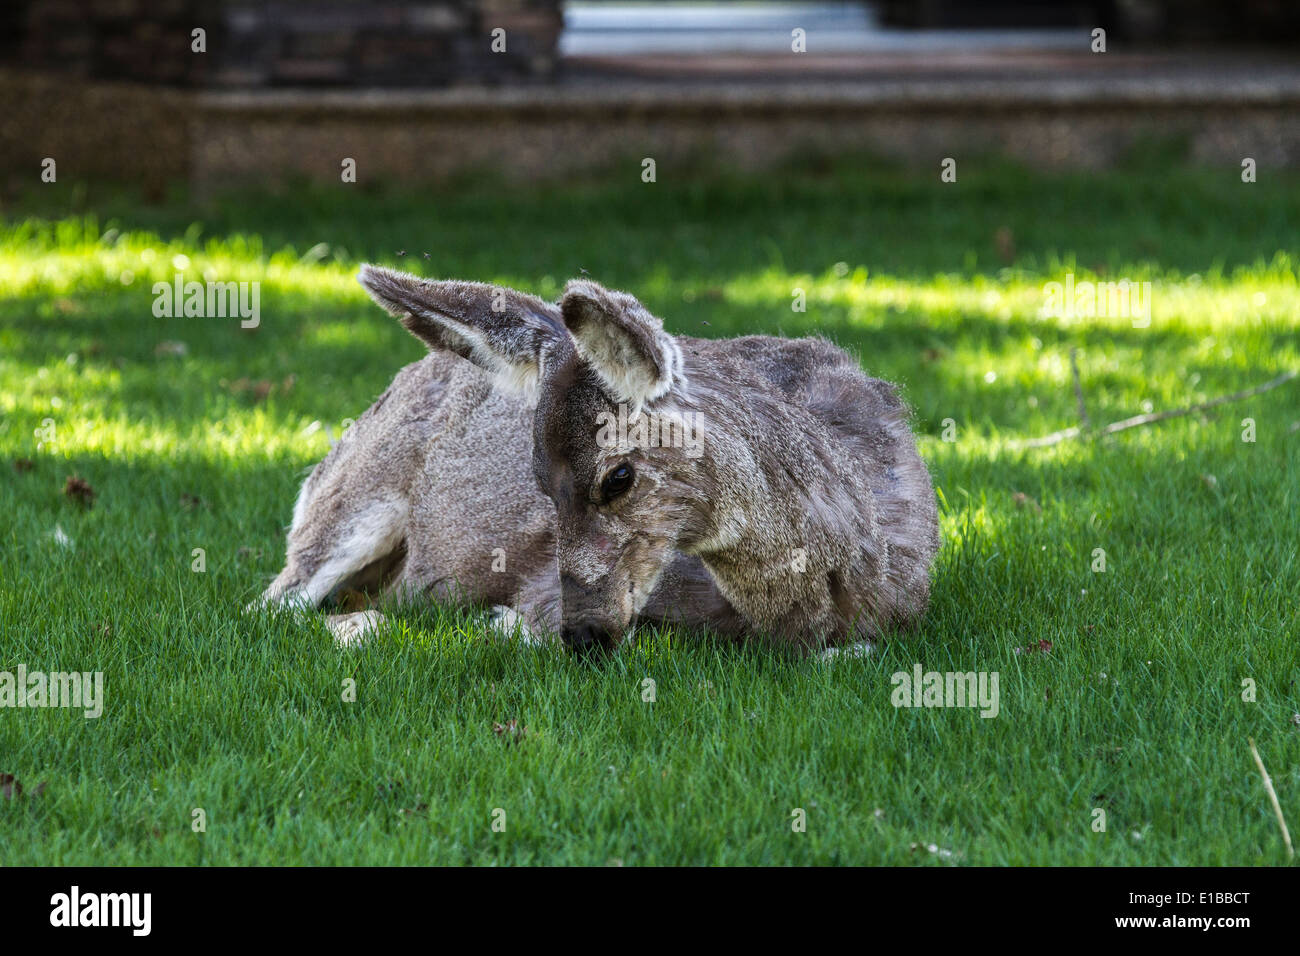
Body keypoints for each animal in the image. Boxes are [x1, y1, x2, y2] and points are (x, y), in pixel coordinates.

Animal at [248, 265, 940, 658]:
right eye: (539, 481)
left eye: (619, 476)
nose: (581, 633)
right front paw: (502, 622)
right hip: (356, 493)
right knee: (271, 605)